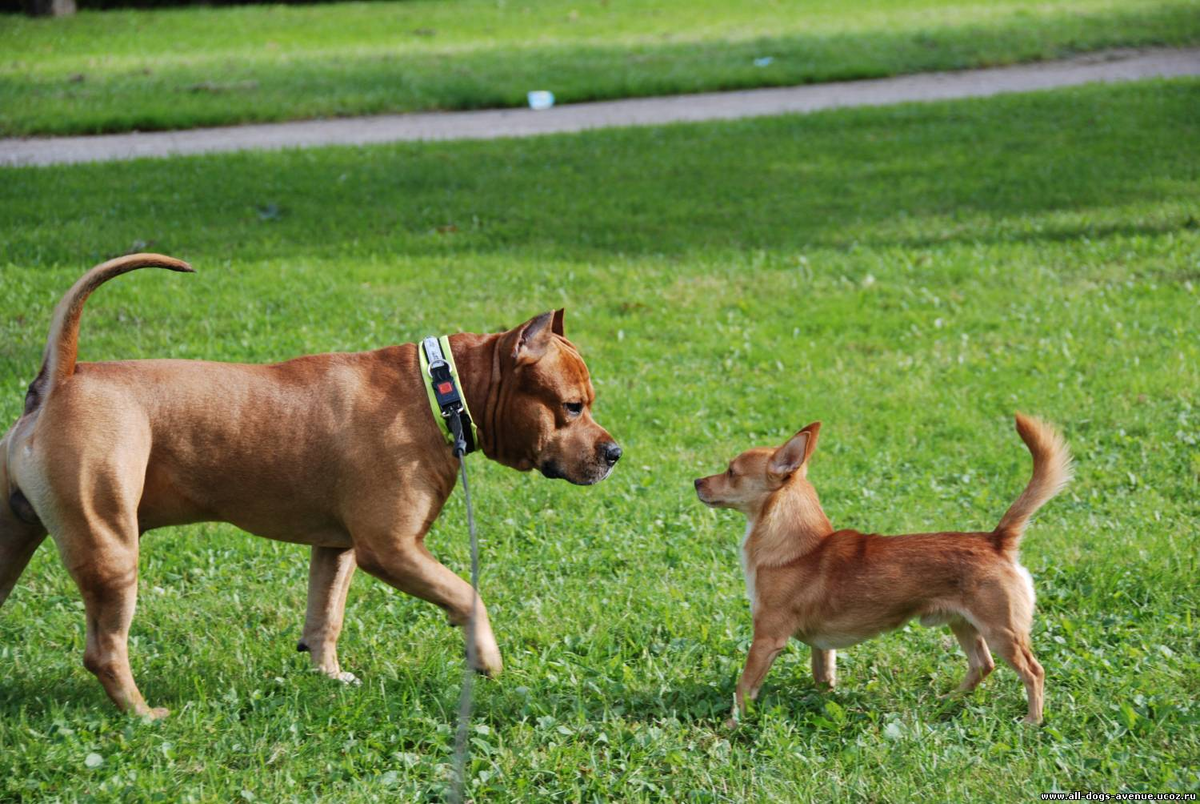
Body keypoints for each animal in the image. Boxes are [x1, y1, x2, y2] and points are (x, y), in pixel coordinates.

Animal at [0, 255, 619, 720]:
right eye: (572, 407)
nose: (614, 453)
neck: (440, 390)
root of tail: (61, 380)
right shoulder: (390, 548)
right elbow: (466, 593)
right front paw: (484, 655)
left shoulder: (337, 548)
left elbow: (325, 617)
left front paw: (328, 675)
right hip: (111, 551)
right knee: (104, 650)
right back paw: (143, 714)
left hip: (19, 543)